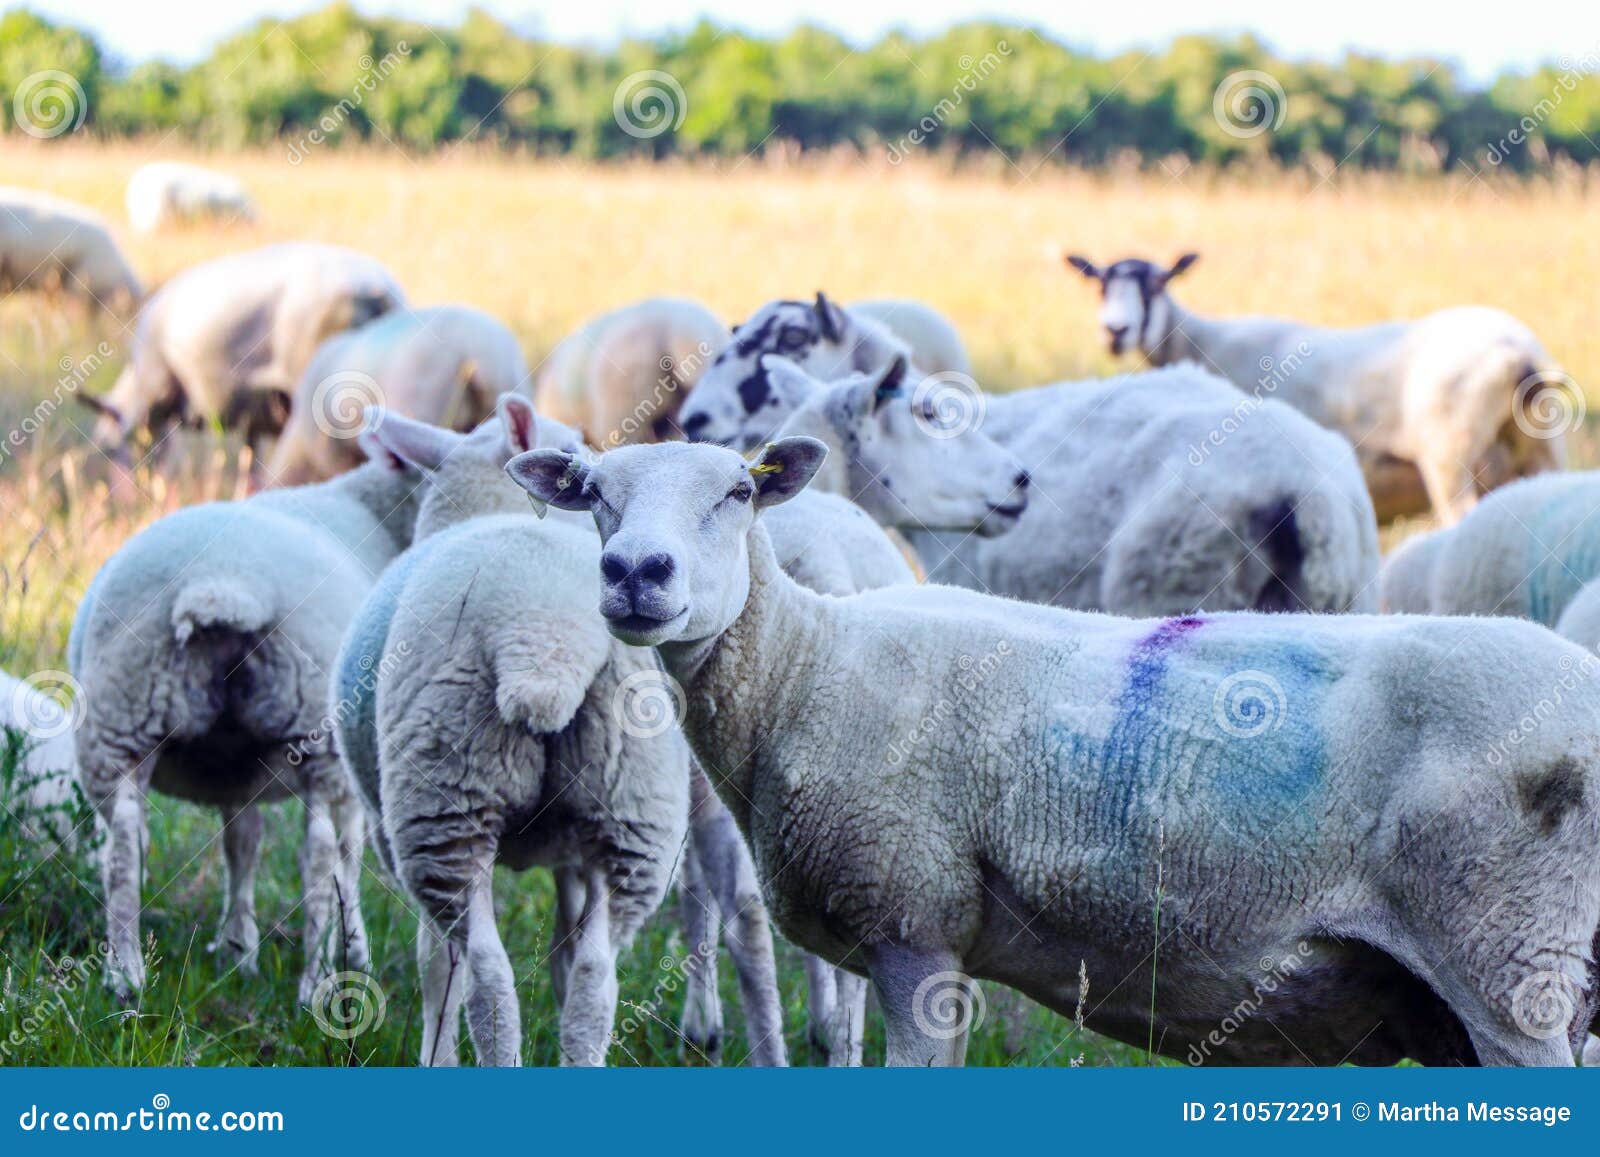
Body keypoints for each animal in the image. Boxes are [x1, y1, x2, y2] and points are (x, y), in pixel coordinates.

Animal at [68, 443, 421, 998]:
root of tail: (226, 584)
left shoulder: (238, 772)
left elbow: (242, 843)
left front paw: (238, 950)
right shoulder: (348, 769)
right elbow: (347, 855)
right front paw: (355, 952)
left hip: (120, 724)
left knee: (123, 850)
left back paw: (125, 975)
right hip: (316, 731)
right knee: (318, 853)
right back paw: (314, 983)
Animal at [78, 242, 405, 474]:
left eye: (110, 449)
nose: (124, 499)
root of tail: (377, 290)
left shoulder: (158, 397)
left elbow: (162, 456)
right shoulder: (254, 416)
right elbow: (250, 464)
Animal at [509, 435, 1600, 1067]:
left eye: (739, 490)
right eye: (592, 492)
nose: (636, 571)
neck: (803, 663)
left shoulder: (915, 925)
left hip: (1512, 965)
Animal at [1063, 253, 1565, 524]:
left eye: (1157, 285)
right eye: (1100, 286)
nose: (1115, 331)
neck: (1200, 341)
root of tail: (1520, 351)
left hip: (1451, 457)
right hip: (1541, 452)